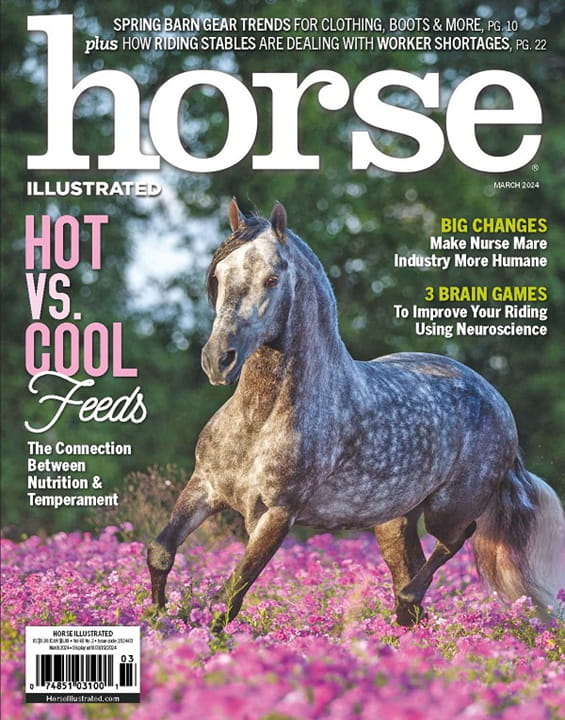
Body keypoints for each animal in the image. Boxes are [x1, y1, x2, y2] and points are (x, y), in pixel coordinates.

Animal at [148, 199, 565, 628]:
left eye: (272, 279)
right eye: (219, 275)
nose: (218, 360)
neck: (257, 421)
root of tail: (496, 400)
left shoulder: (278, 513)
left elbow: (232, 592)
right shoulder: (204, 486)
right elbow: (161, 552)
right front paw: (159, 619)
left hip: (448, 508)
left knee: (455, 539)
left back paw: (408, 597)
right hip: (393, 520)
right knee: (411, 576)